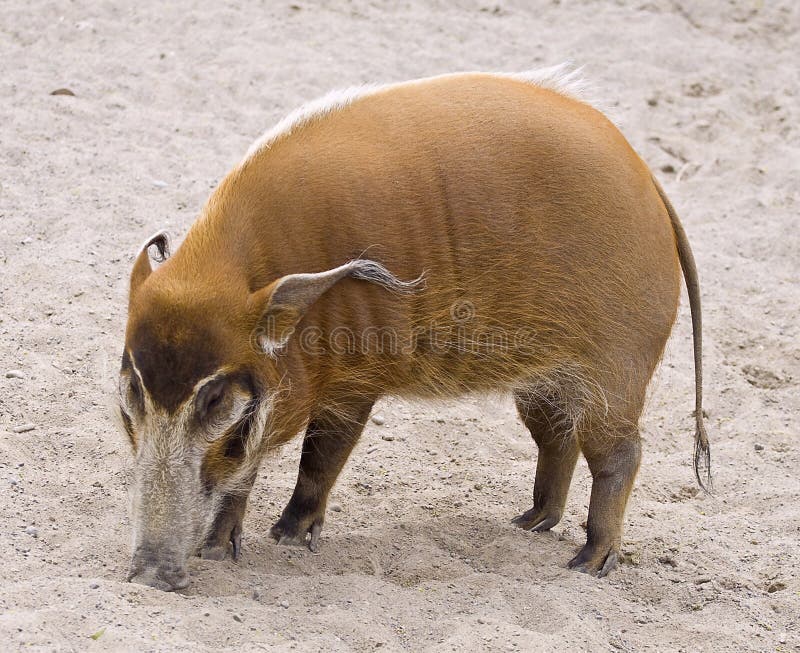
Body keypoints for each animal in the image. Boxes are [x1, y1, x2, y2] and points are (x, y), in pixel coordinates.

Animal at [119, 65, 711, 591]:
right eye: (130, 393)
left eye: (218, 400)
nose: (150, 576)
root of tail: (648, 177)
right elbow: (271, 468)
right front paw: (234, 549)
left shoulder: (354, 381)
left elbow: (319, 455)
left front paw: (277, 539)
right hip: (544, 382)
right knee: (558, 439)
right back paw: (528, 523)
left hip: (615, 371)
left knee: (620, 454)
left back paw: (589, 562)